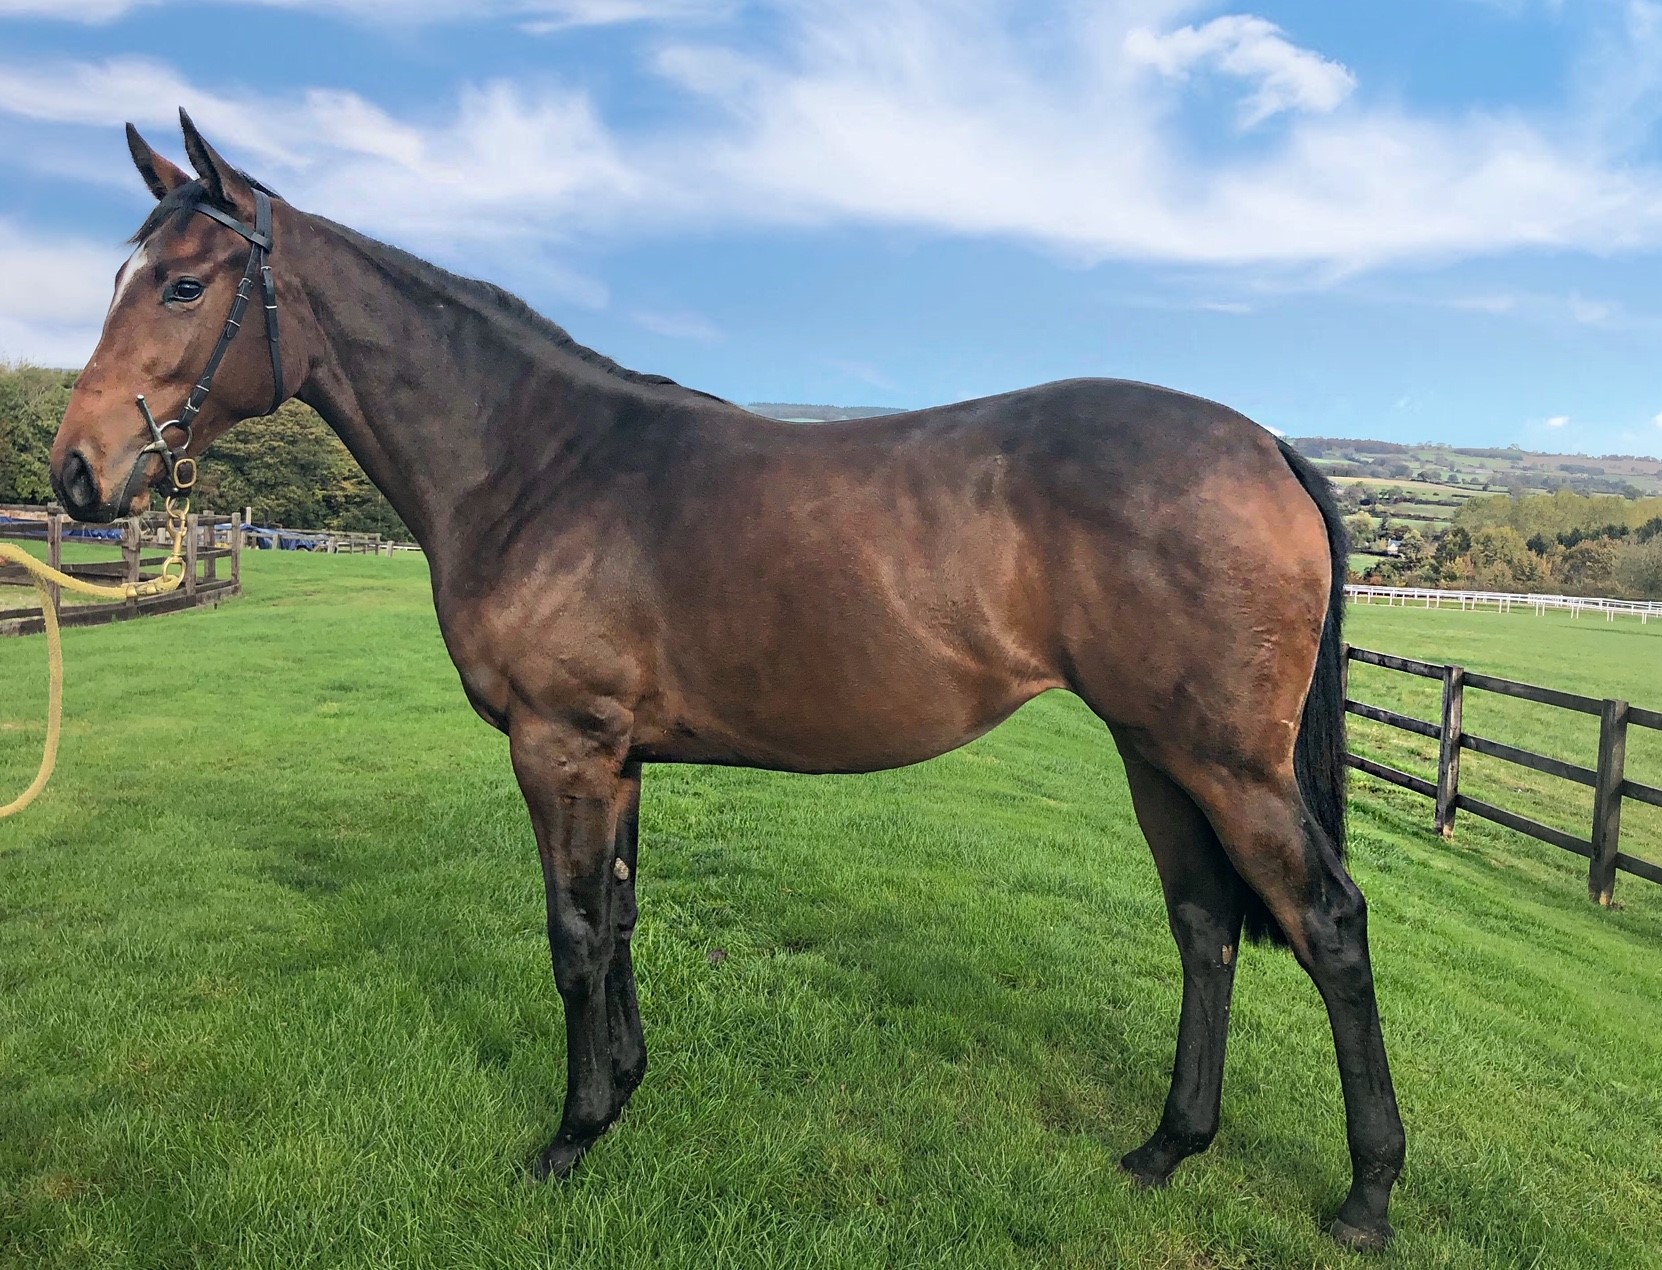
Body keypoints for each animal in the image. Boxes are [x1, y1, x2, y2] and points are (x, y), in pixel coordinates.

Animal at [48, 112, 1404, 1250]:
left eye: (183, 283)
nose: (75, 474)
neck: (538, 462)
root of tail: (1266, 445)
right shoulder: (619, 758)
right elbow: (622, 919)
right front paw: (625, 1092)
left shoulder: (559, 746)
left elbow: (572, 935)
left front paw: (570, 1135)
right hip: (1153, 748)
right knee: (1205, 925)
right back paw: (1168, 1148)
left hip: (1226, 761)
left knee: (1328, 924)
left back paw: (1367, 1196)